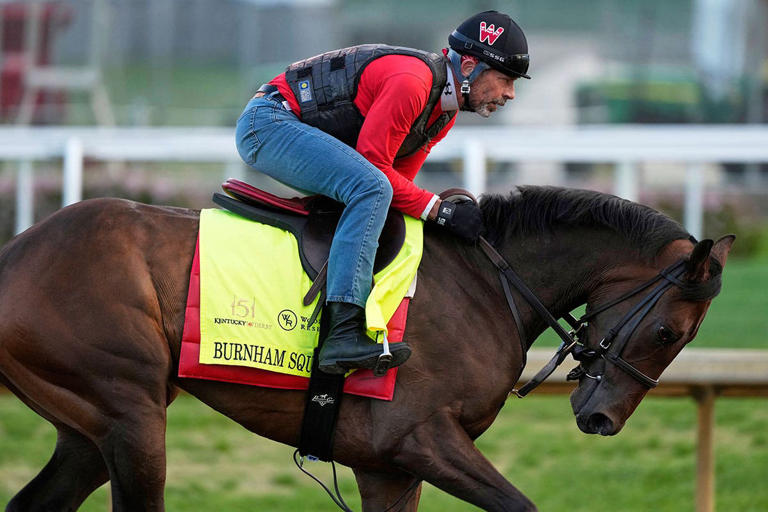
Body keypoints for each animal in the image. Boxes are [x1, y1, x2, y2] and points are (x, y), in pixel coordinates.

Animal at [0, 185, 732, 512]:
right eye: (669, 333)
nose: (601, 418)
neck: (482, 281)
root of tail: (16, 253)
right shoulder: (418, 438)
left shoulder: (386, 466)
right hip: (130, 414)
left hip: (89, 430)